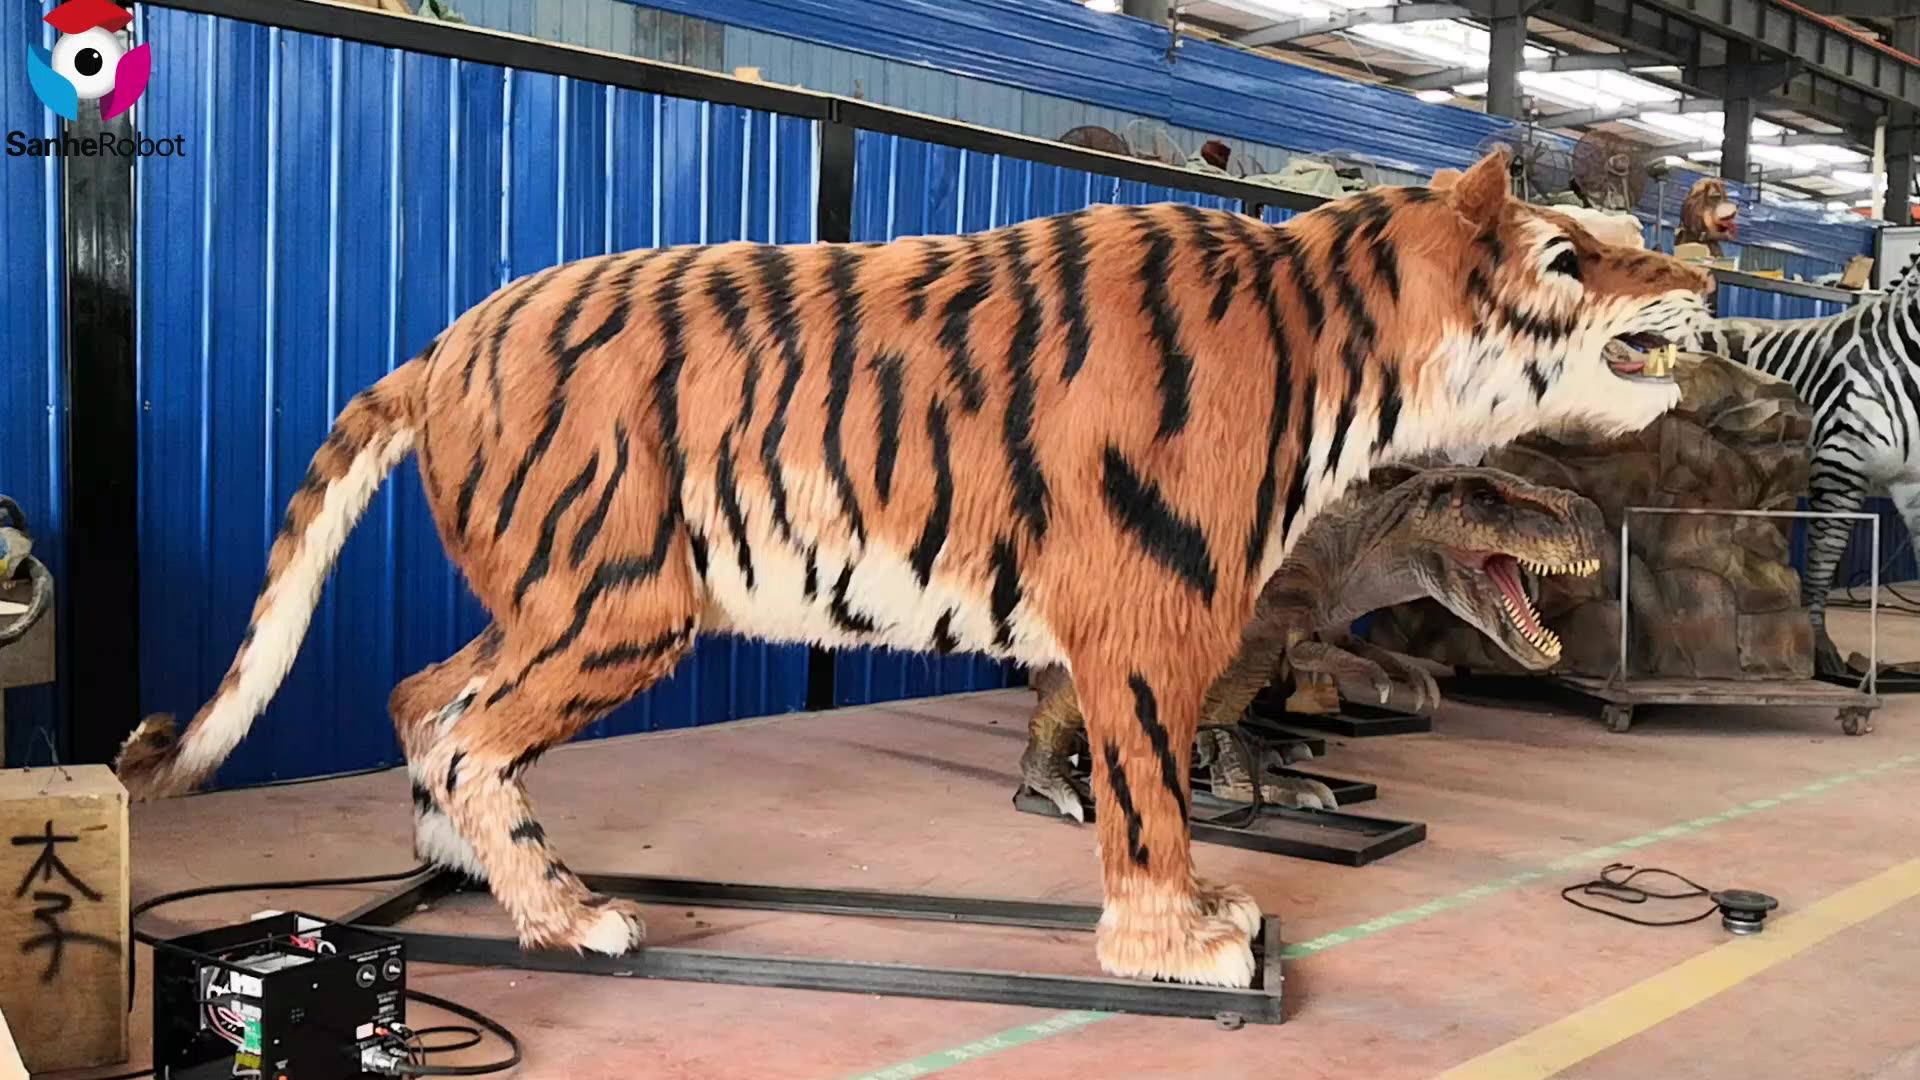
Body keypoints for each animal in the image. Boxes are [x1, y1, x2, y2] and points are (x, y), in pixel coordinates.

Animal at [114, 146, 1713, 988]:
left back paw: (470, 879)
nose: (1704, 281)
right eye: (1572, 255)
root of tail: (446, 339)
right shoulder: (1149, 623)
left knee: (424, 701)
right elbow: (1150, 797)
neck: (1355, 354)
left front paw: (1205, 912)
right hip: (618, 603)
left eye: (1631, 239)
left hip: (554, 602)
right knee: (469, 734)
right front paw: (1171, 943)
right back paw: (570, 919)